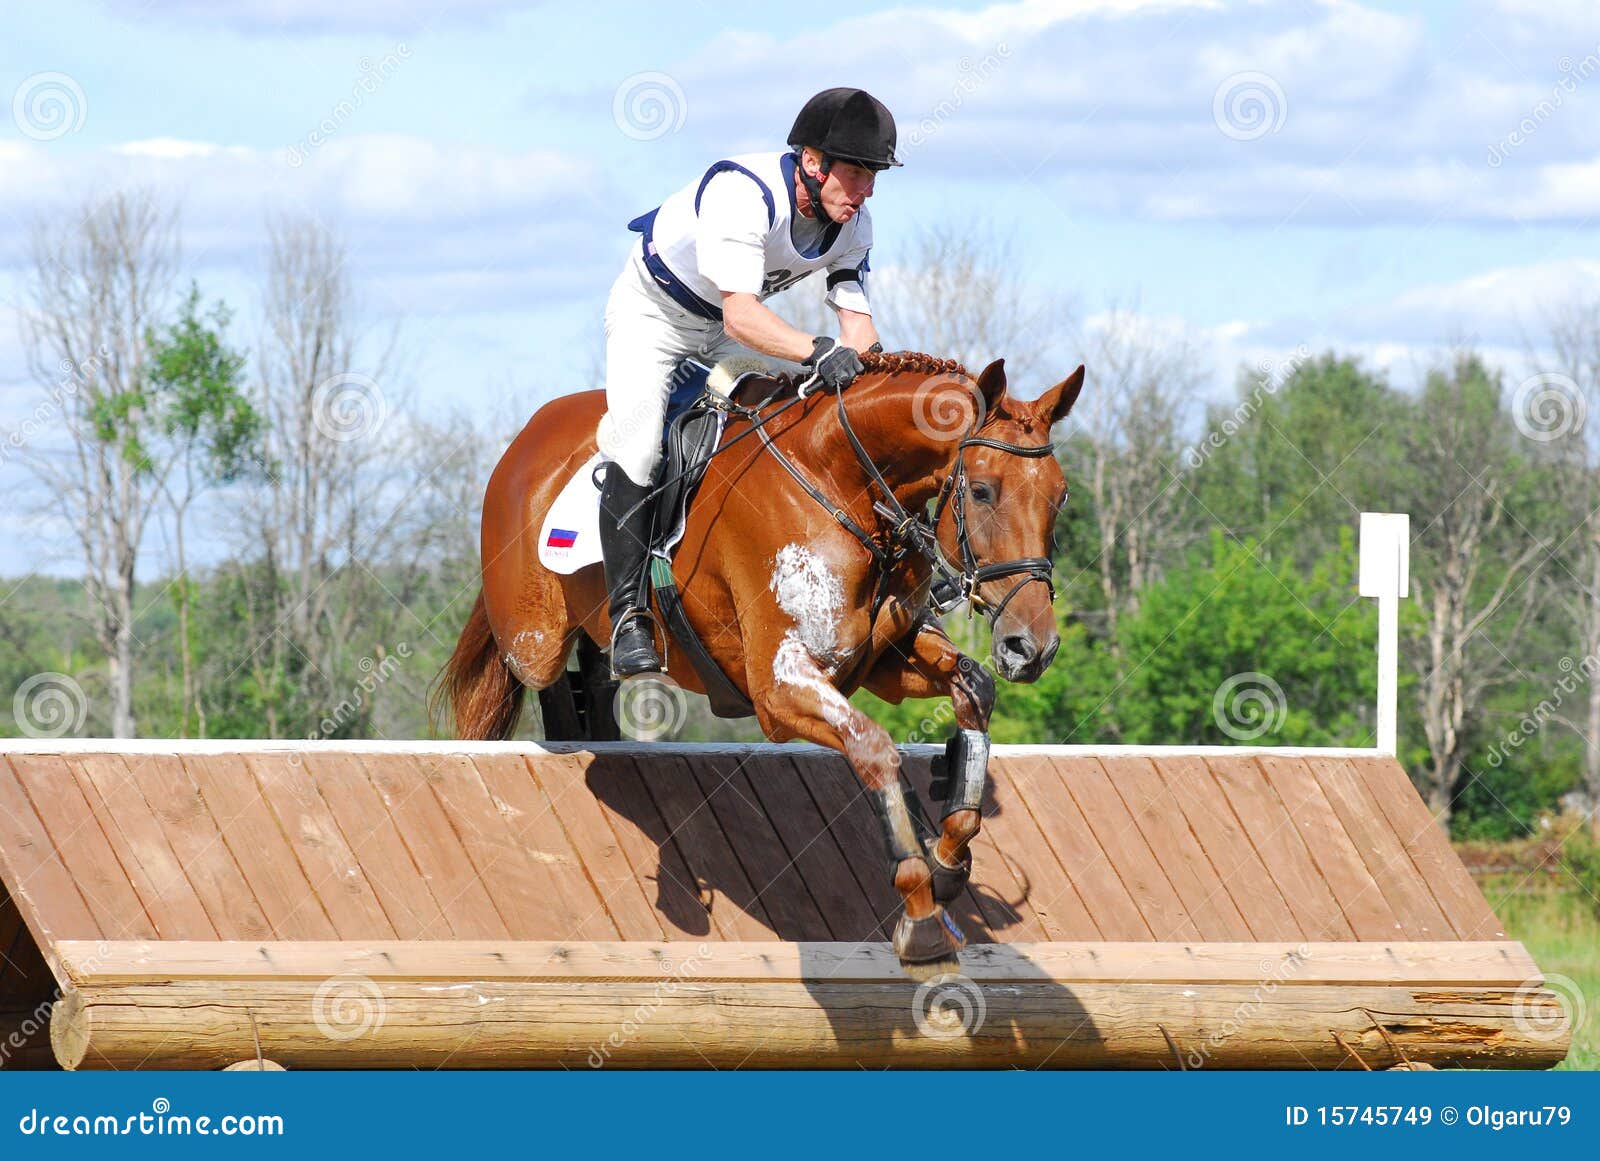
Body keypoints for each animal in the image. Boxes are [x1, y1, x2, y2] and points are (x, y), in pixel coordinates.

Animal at [435, 350, 1084, 978]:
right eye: (982, 491)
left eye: (1060, 496)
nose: (1032, 646)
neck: (840, 481)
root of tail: (525, 439)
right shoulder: (778, 689)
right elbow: (874, 748)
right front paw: (922, 918)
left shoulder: (879, 661)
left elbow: (973, 691)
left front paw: (948, 857)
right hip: (531, 637)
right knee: (547, 686)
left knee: (591, 682)